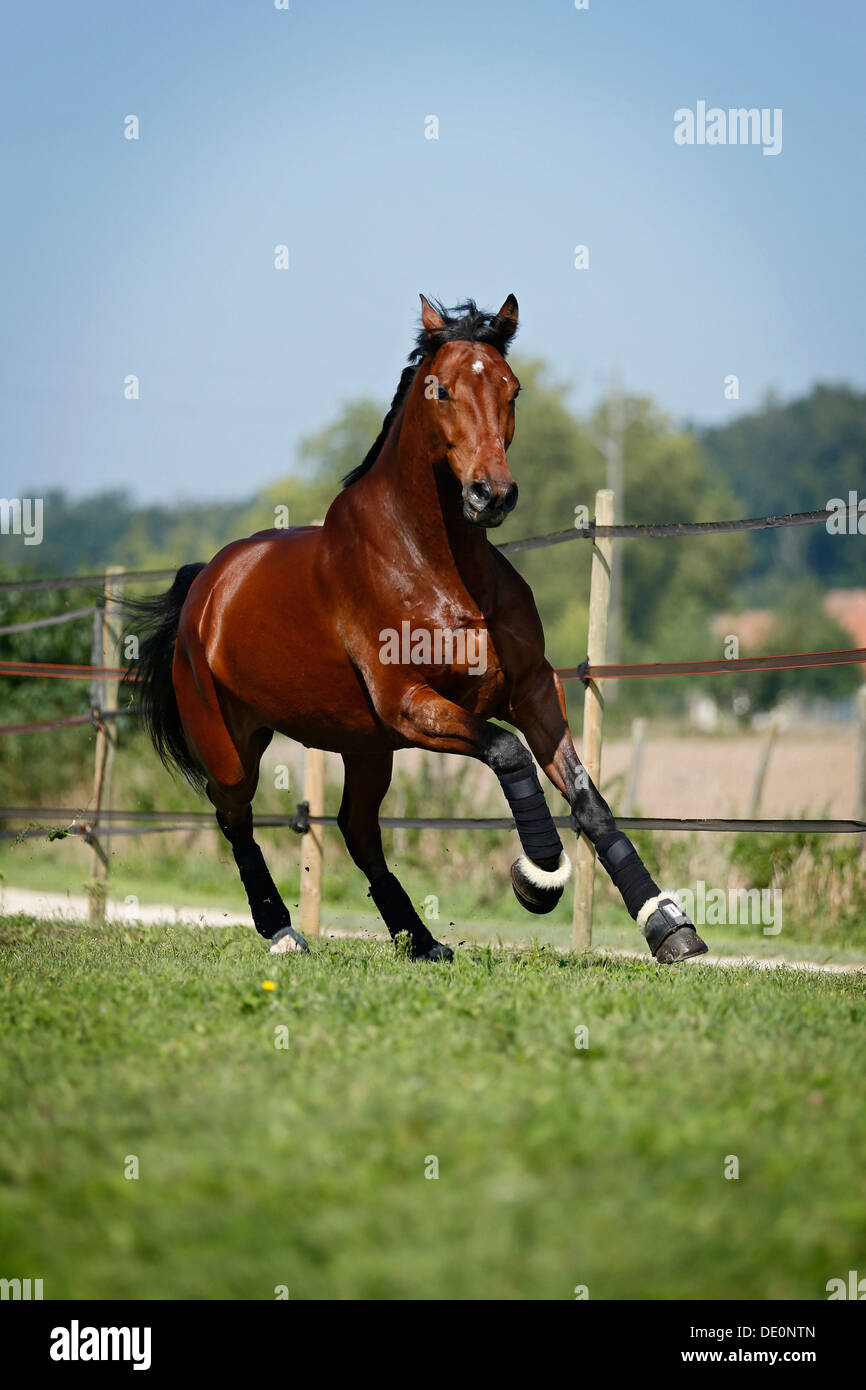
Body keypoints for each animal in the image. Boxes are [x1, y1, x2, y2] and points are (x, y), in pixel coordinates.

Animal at [127, 295, 708, 965]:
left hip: (364, 747)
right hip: (232, 744)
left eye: (512, 388)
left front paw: (669, 927)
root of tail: (205, 585)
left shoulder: (533, 691)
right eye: (442, 390)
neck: (439, 567)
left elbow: (589, 800)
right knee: (236, 820)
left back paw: (423, 940)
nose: (491, 495)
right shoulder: (411, 706)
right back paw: (284, 932)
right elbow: (508, 751)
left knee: (357, 832)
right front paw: (537, 878)